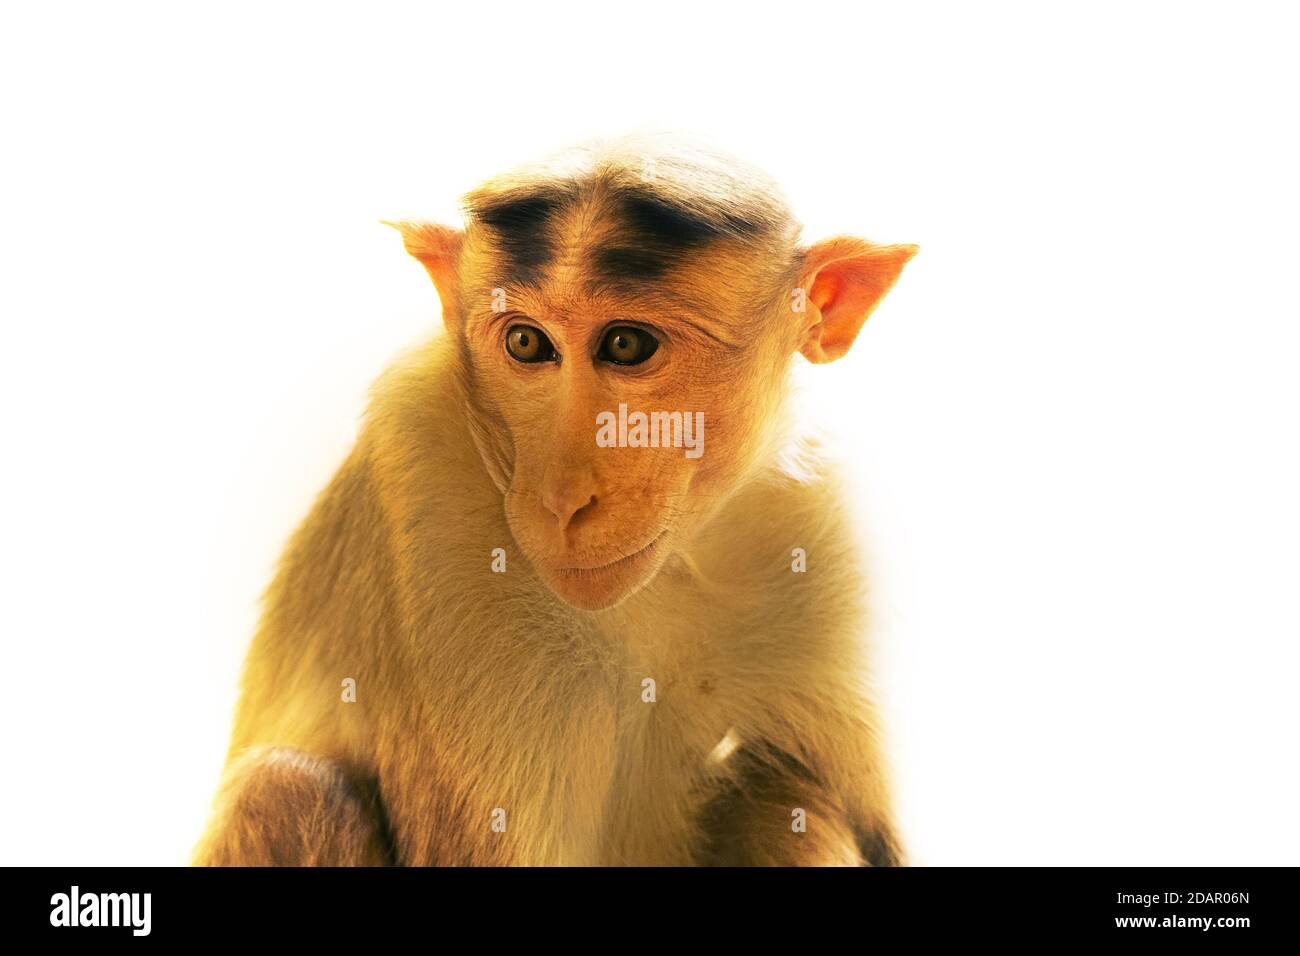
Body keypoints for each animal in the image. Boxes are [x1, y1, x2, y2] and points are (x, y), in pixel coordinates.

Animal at [193, 136, 917, 867]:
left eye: (627, 345)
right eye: (526, 342)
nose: (561, 498)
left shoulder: (818, 523)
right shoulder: (428, 488)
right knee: (291, 789)